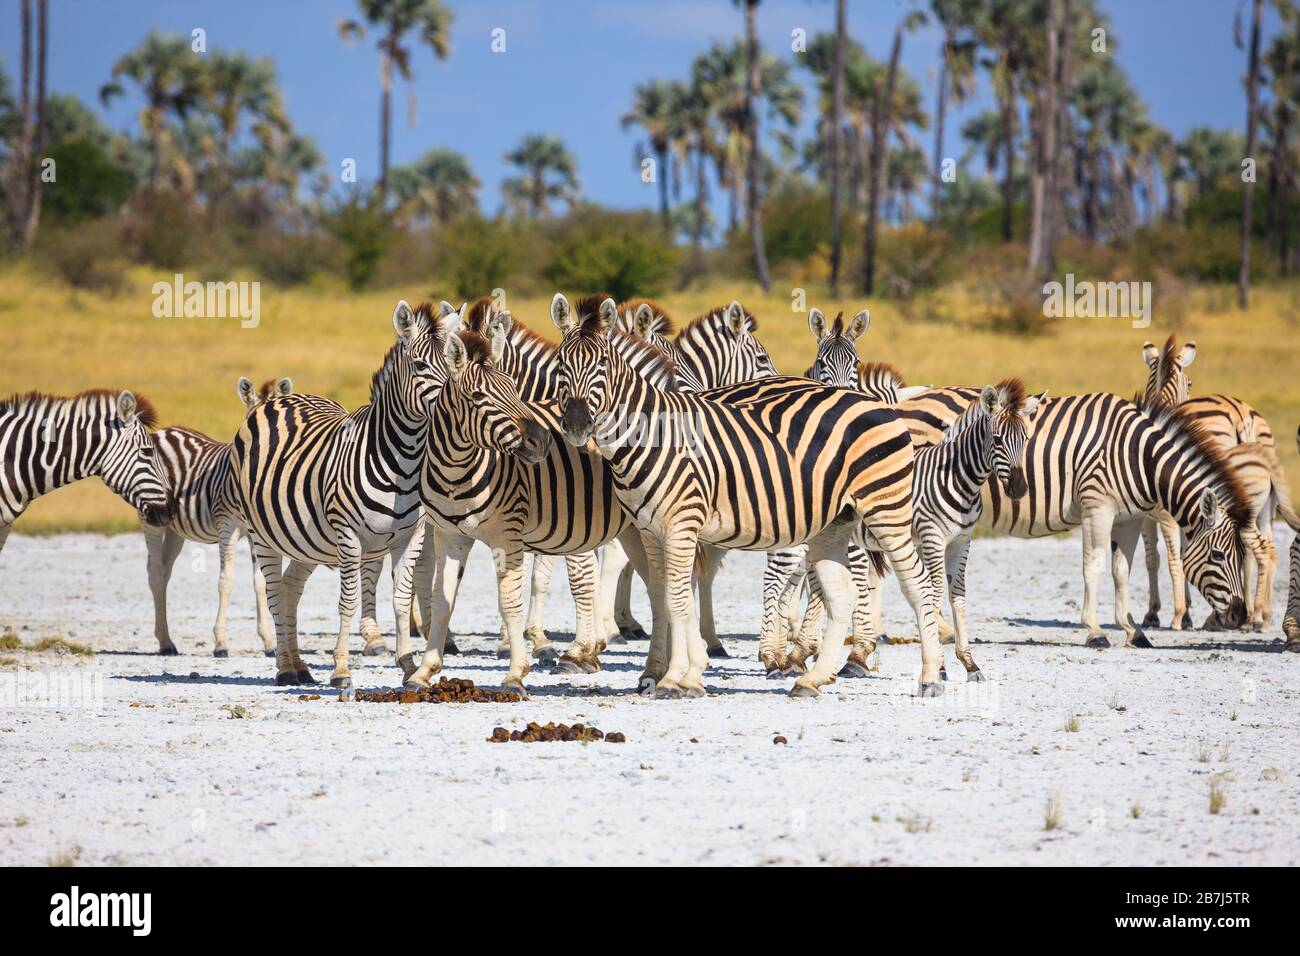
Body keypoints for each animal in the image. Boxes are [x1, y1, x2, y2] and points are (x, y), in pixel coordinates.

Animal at [231, 300, 456, 686]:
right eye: (419, 365)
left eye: (457, 362)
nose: (453, 407)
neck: (405, 461)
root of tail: (275, 402)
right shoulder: (348, 535)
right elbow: (348, 602)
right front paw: (340, 670)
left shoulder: (409, 537)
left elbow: (401, 598)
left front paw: (407, 666)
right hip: (261, 533)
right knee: (273, 592)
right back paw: (285, 668)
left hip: (305, 540)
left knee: (290, 588)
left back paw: (300, 666)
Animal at [409, 318, 659, 695]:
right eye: (478, 397)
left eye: (514, 389)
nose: (541, 442)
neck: (457, 475)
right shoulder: (449, 536)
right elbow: (443, 601)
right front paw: (424, 671)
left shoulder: (507, 536)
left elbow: (509, 601)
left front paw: (516, 673)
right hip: (631, 530)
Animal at [551, 293, 946, 699]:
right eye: (560, 365)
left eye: (601, 364)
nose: (577, 426)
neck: (653, 434)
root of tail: (878, 403)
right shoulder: (649, 530)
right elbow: (662, 594)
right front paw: (660, 672)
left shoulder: (680, 527)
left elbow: (676, 599)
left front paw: (676, 677)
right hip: (837, 522)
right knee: (840, 592)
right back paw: (813, 677)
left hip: (885, 510)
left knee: (917, 584)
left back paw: (929, 675)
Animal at [1138, 336, 1277, 629]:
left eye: (1189, 384)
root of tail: (1241, 415)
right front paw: (1187, 612)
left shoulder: (1157, 515)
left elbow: (1160, 558)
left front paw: (1166, 613)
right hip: (1261, 505)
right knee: (1261, 550)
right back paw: (1256, 615)